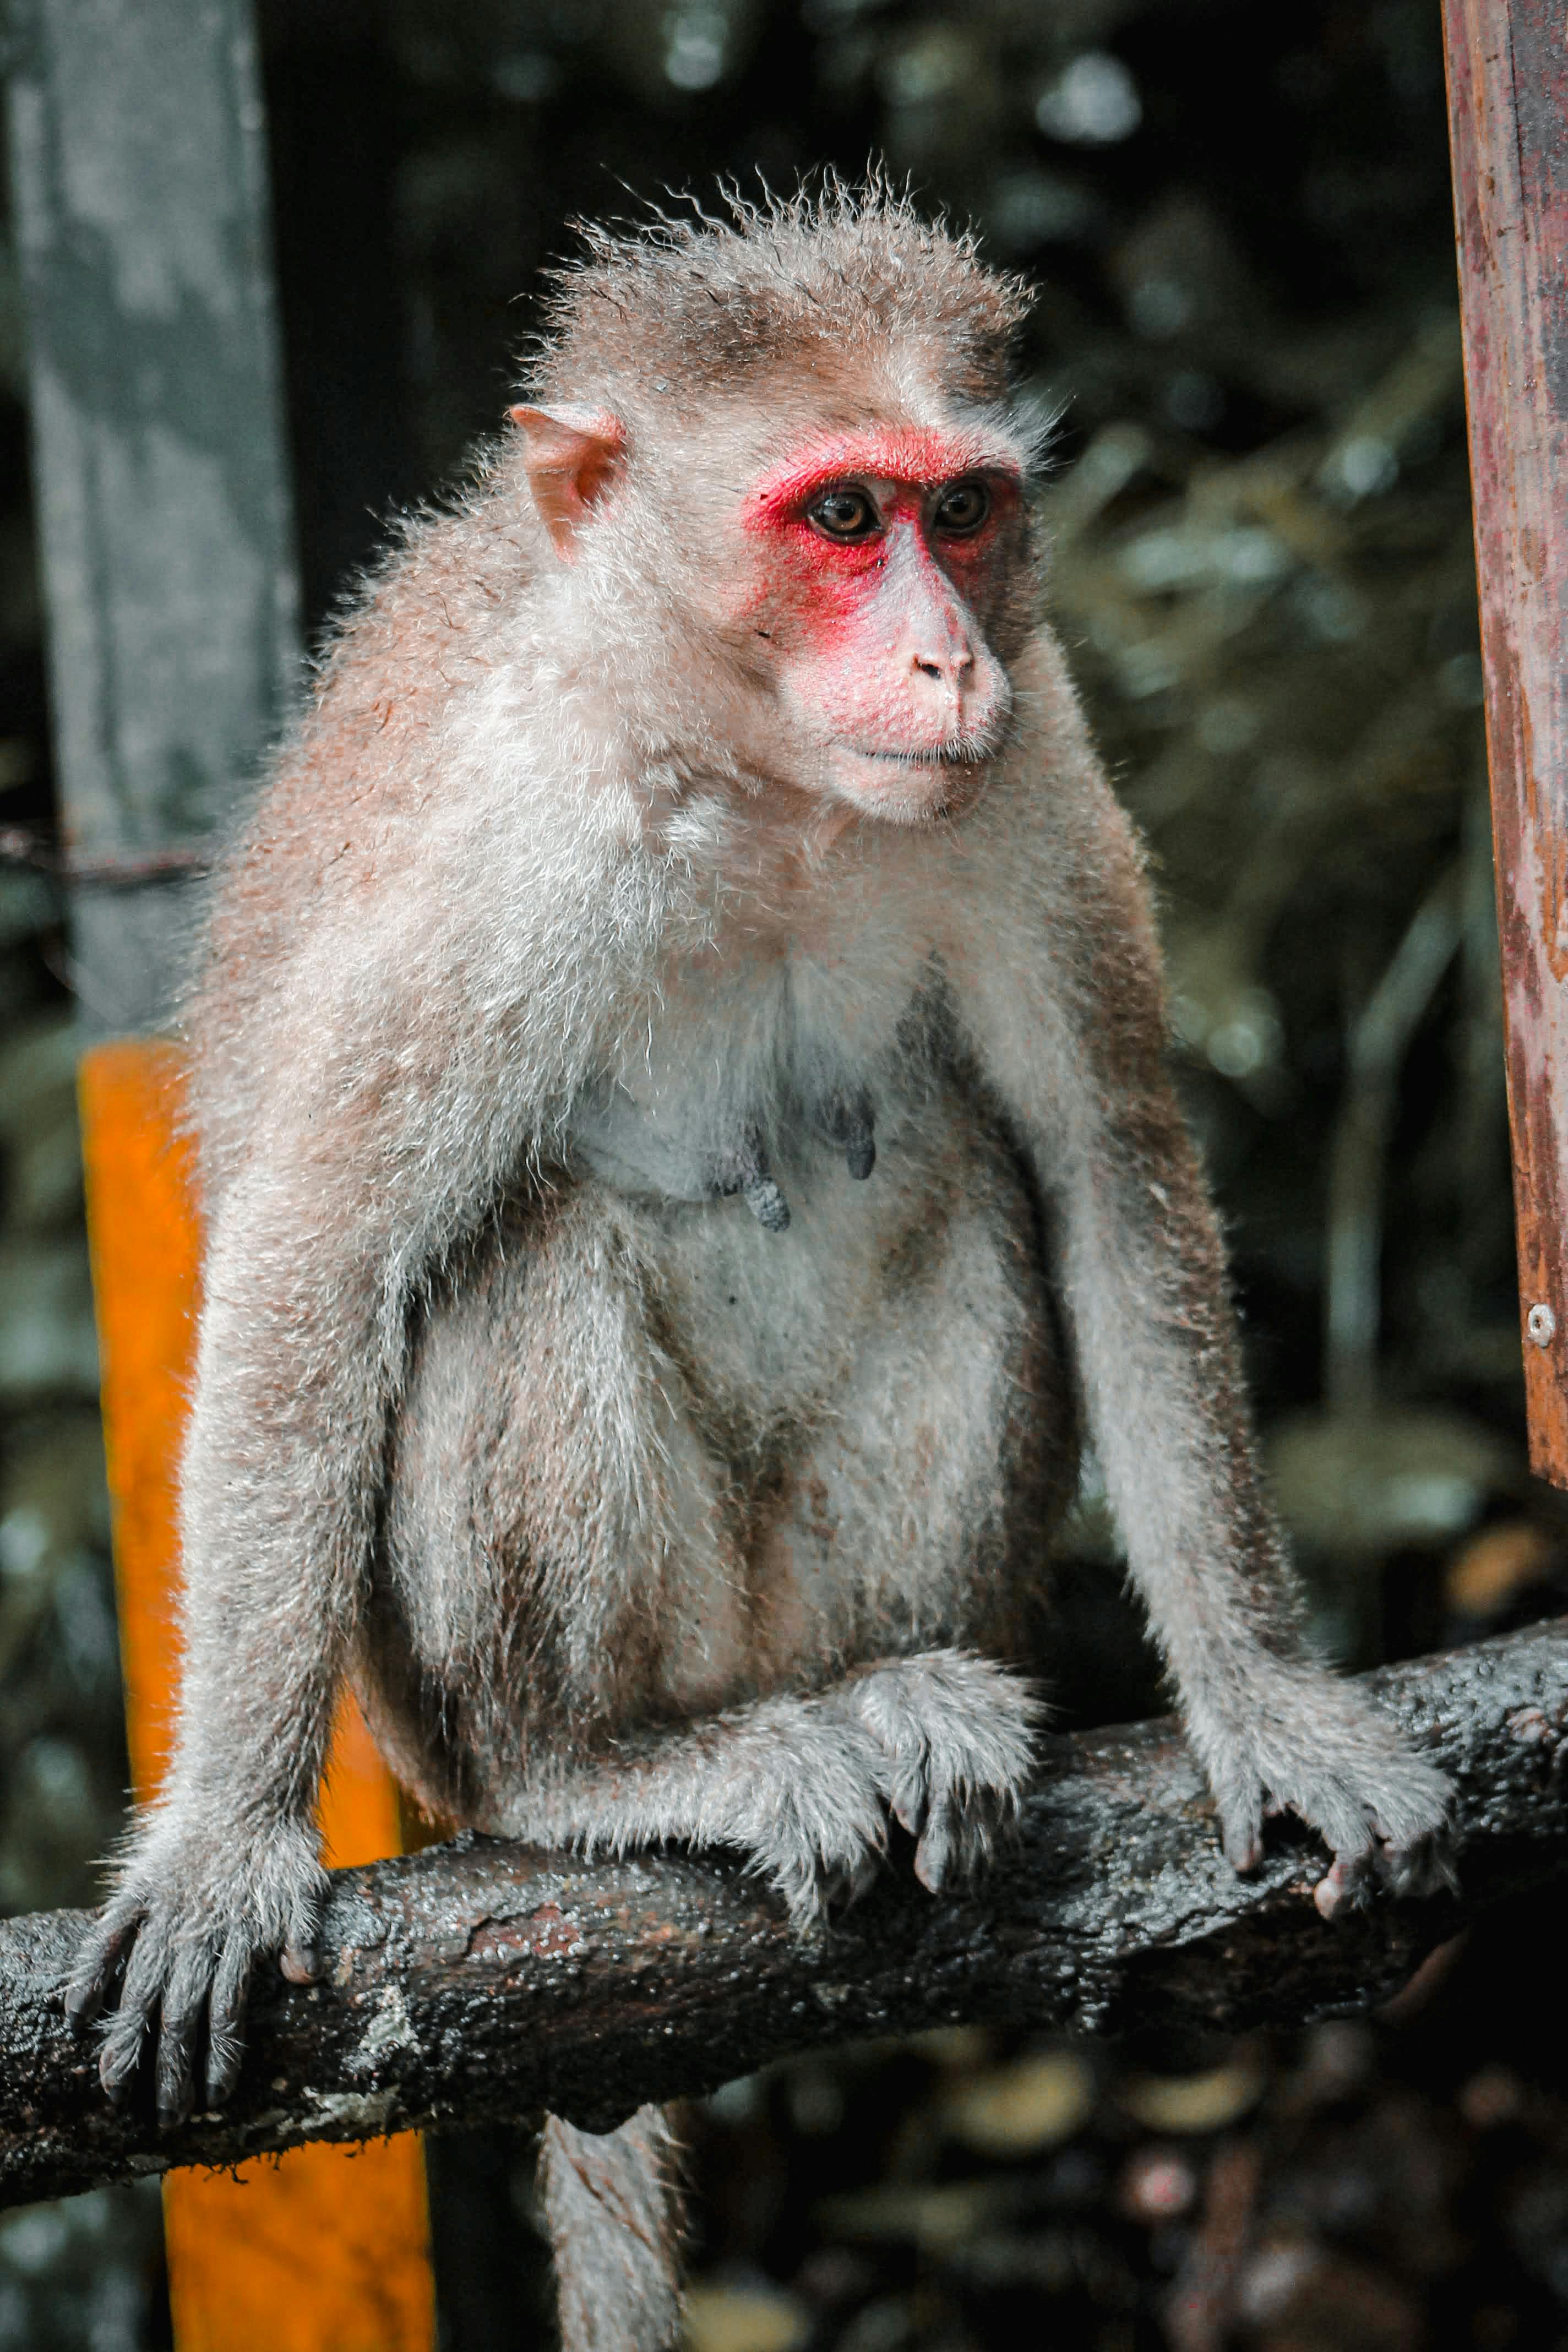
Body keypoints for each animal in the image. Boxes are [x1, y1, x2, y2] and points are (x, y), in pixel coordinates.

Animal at [66, 182, 1453, 2352]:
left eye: (956, 510)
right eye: (838, 519)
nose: (943, 652)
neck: (762, 776)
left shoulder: (1031, 767)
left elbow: (1107, 1163)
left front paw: (1258, 1691)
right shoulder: (506, 843)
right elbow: (321, 1252)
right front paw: (223, 1842)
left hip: (816, 1584)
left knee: (972, 1169)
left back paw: (898, 1699)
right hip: (462, 1703)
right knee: (516, 1246)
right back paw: (600, 1769)